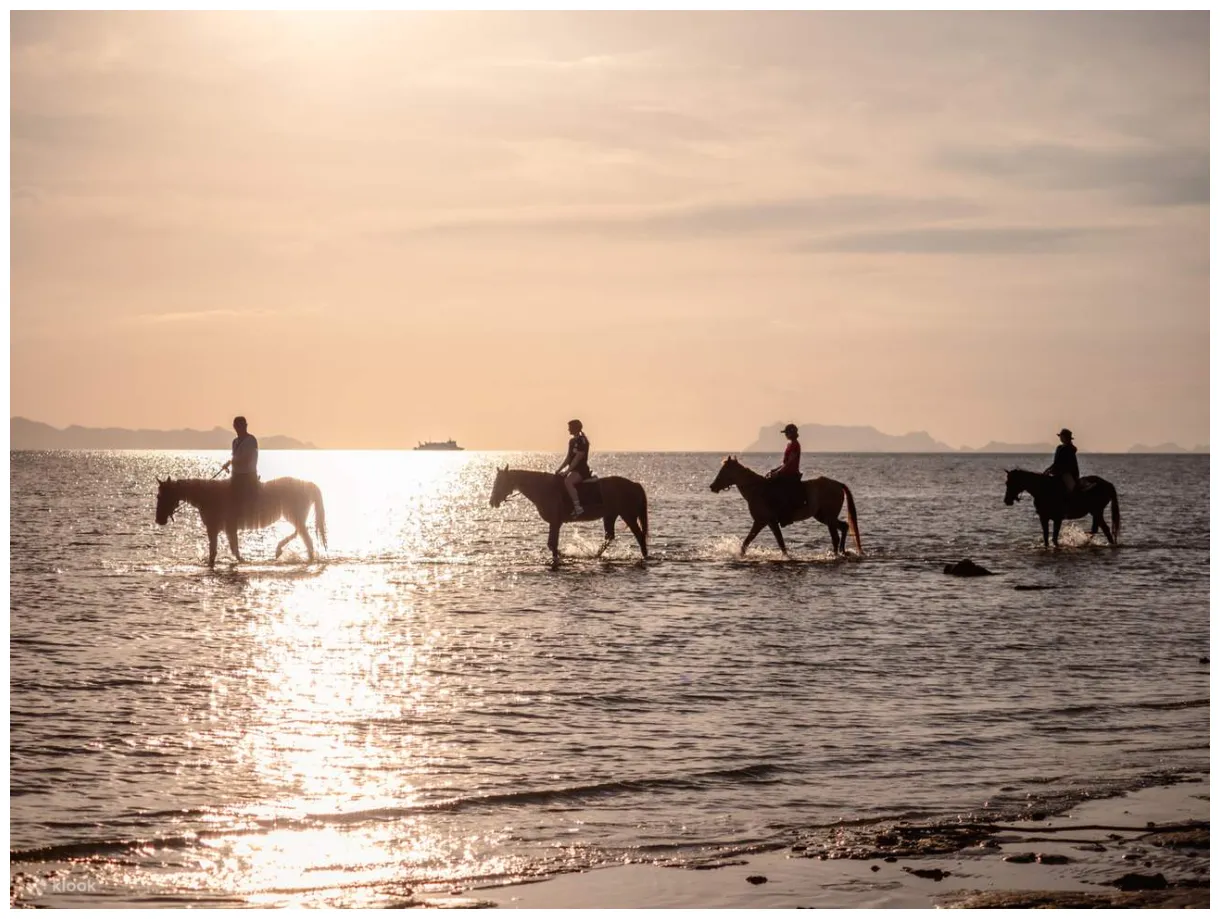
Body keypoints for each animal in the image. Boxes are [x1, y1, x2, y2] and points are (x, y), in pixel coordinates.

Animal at [155, 476, 327, 567]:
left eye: (161, 496)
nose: (158, 520)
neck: (208, 496)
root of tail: (308, 484)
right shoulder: (228, 528)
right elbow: (233, 549)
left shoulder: (214, 528)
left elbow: (215, 551)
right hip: (295, 516)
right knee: (302, 535)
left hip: (294, 515)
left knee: (306, 538)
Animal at [489, 467, 648, 563]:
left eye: (500, 482)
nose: (492, 501)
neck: (543, 488)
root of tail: (635, 484)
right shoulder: (555, 523)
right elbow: (552, 544)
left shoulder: (555, 522)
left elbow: (552, 544)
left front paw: (562, 556)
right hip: (610, 515)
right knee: (609, 536)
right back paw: (595, 555)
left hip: (628, 516)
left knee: (639, 536)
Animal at [709, 456, 862, 557]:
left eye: (723, 471)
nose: (712, 486)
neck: (757, 489)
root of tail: (837, 484)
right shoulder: (768, 522)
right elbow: (778, 542)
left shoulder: (762, 521)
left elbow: (750, 541)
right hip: (823, 516)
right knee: (844, 527)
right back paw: (842, 552)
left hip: (828, 517)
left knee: (836, 535)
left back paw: (837, 554)